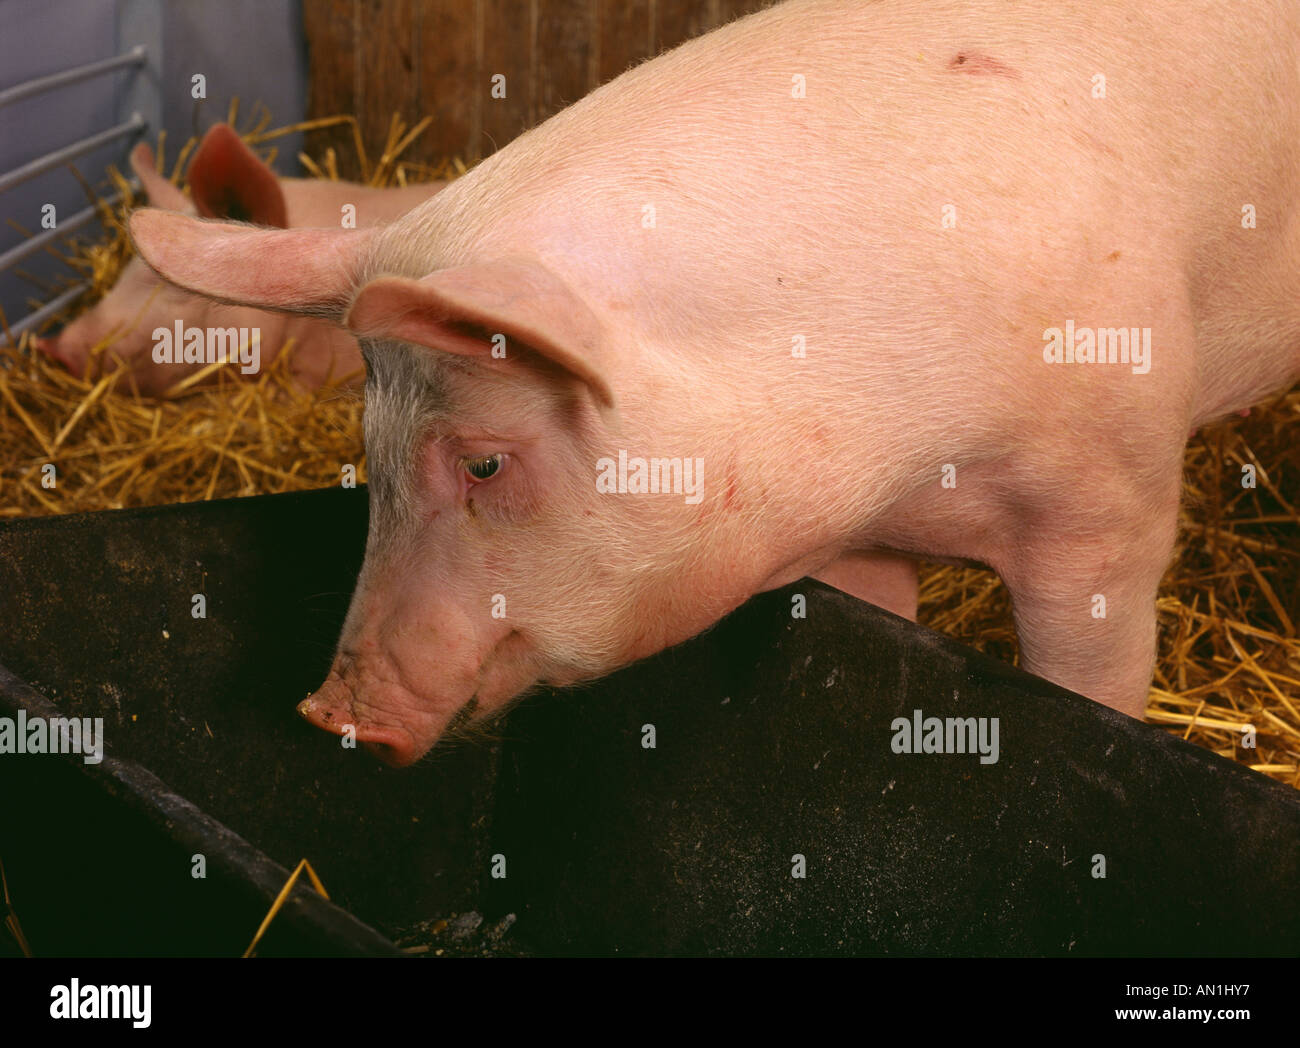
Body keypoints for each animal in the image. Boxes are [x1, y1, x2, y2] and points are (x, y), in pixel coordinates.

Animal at [129, 0, 1300, 766]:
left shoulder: (1113, 495)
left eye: (486, 462)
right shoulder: (850, 531)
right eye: (364, 449)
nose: (329, 714)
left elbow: (1087, 678)